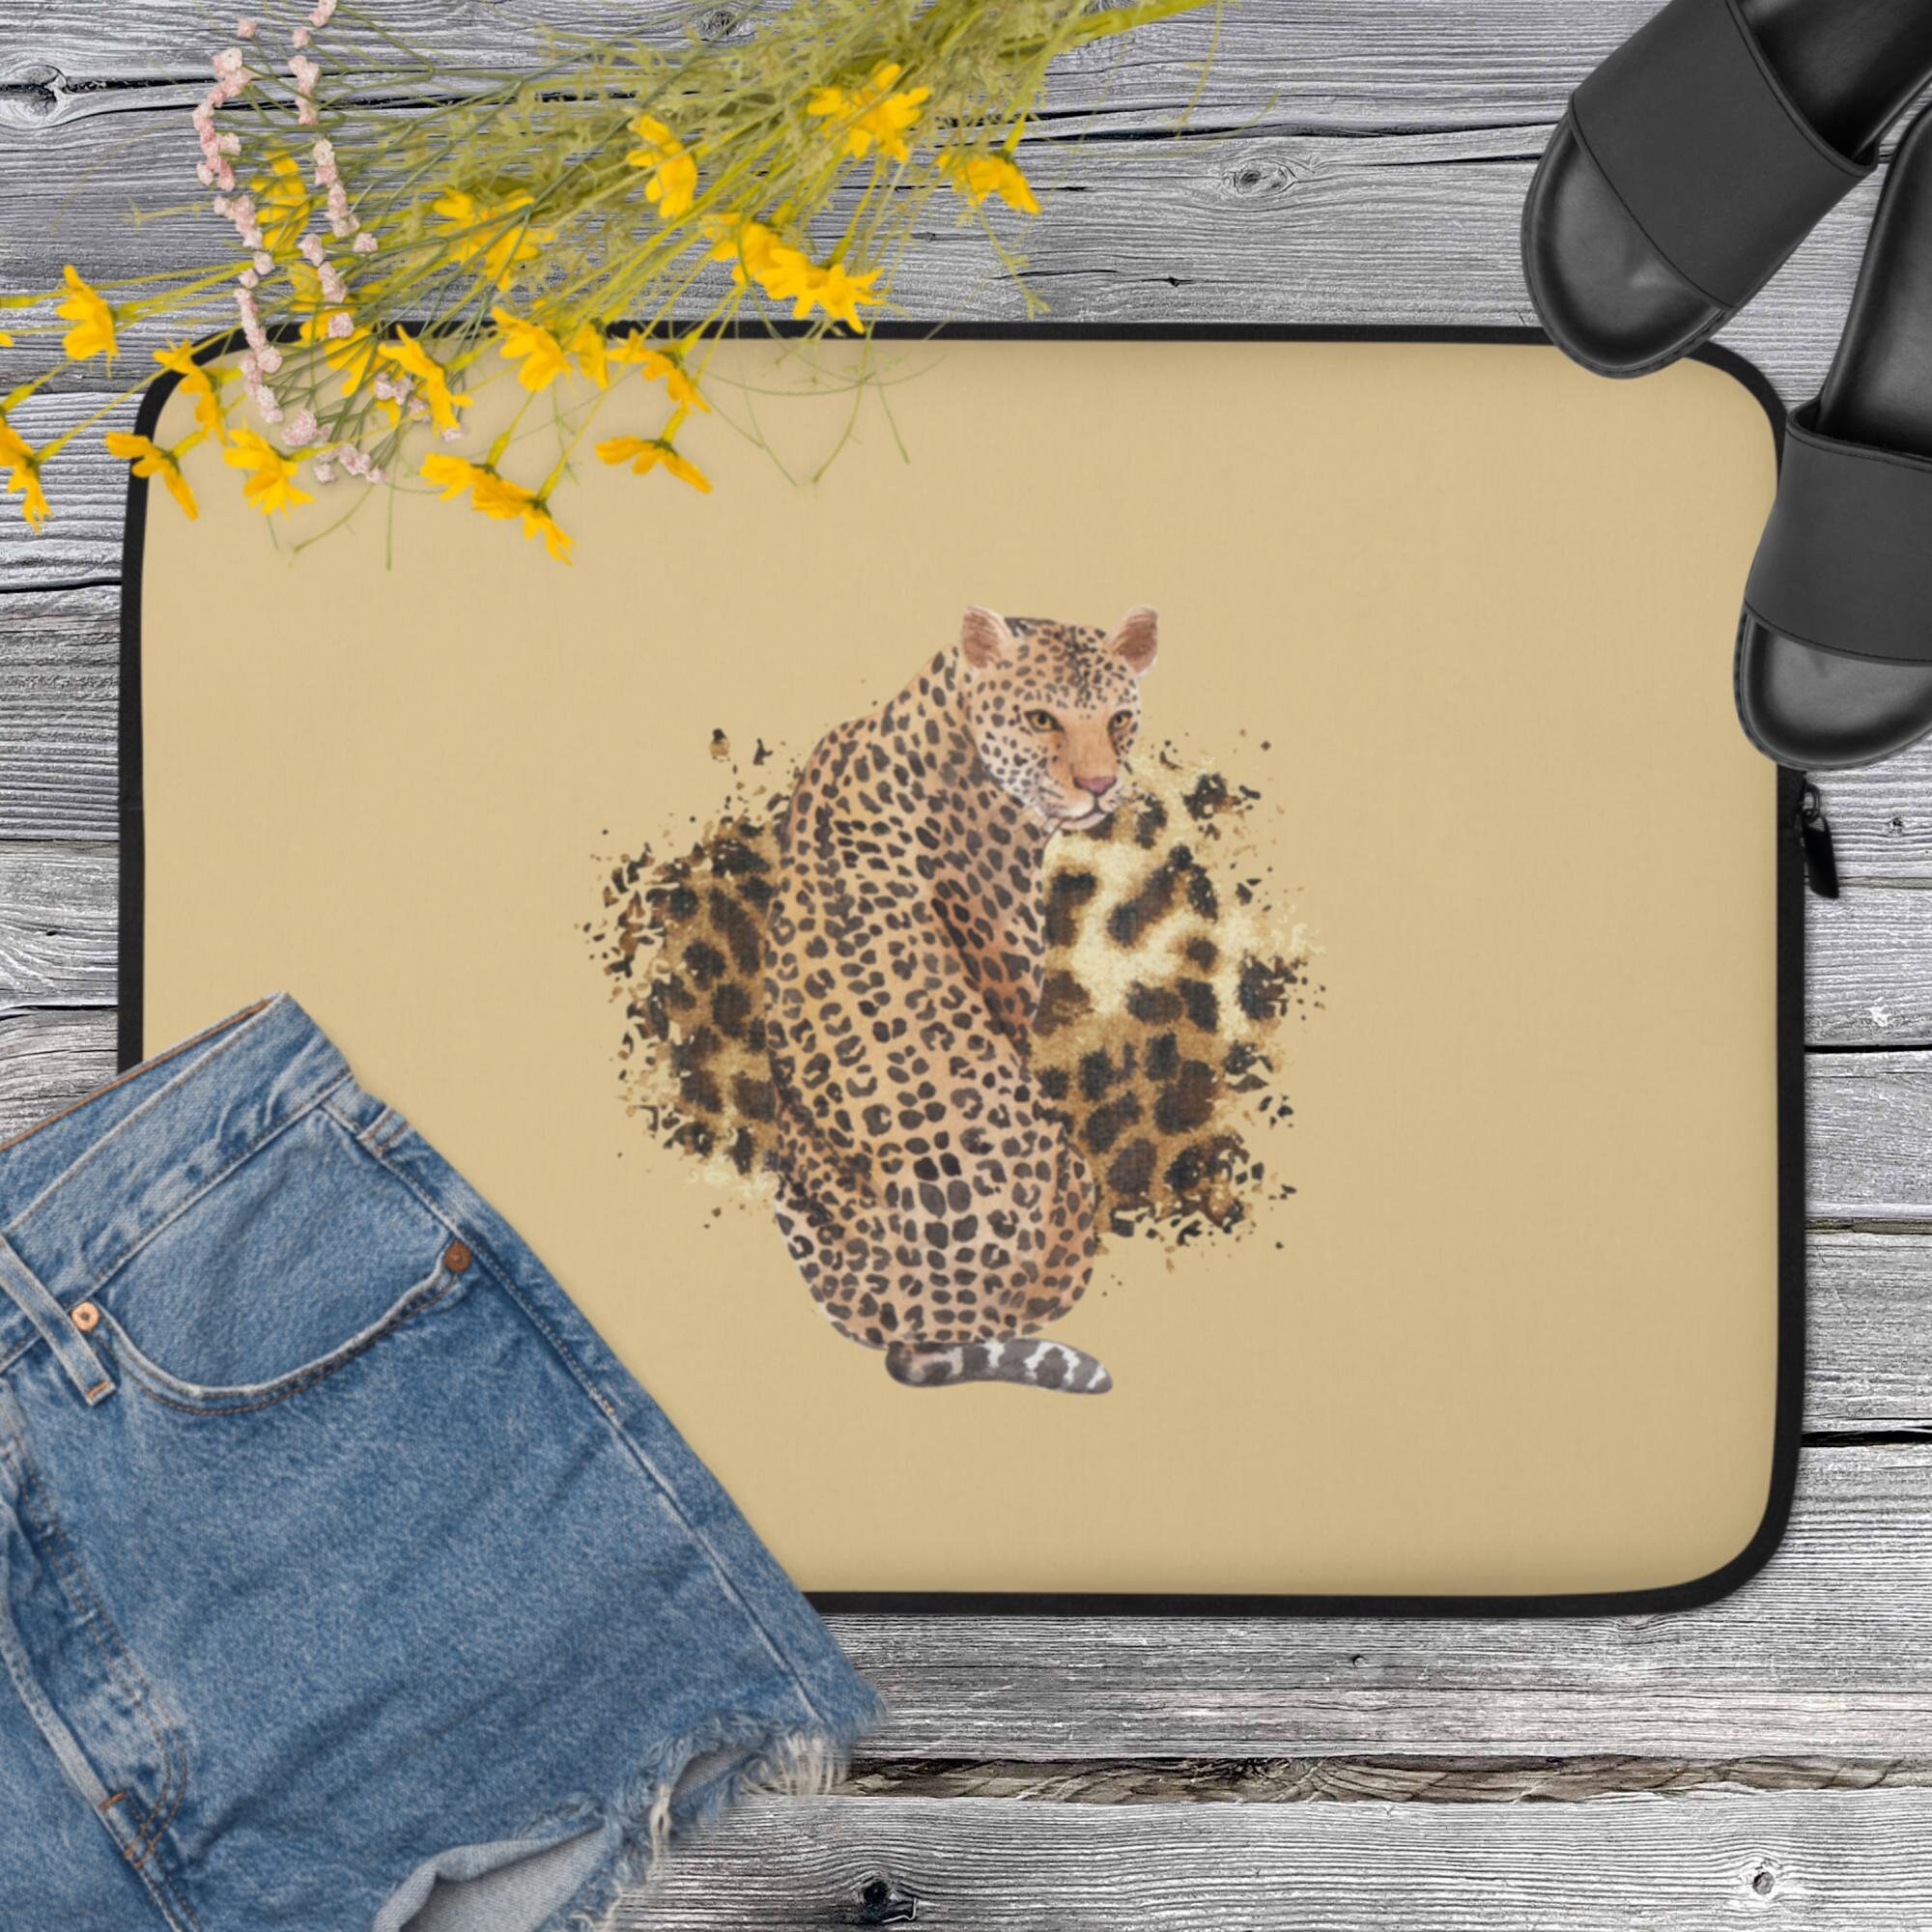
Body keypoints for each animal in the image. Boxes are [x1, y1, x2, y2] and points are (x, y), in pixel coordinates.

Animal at [761, 605, 1161, 1393]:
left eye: (1120, 718)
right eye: (1041, 718)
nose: (1101, 785)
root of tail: (922, 1323)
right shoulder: (1007, 983)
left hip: (784, 1175)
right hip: (1070, 1180)